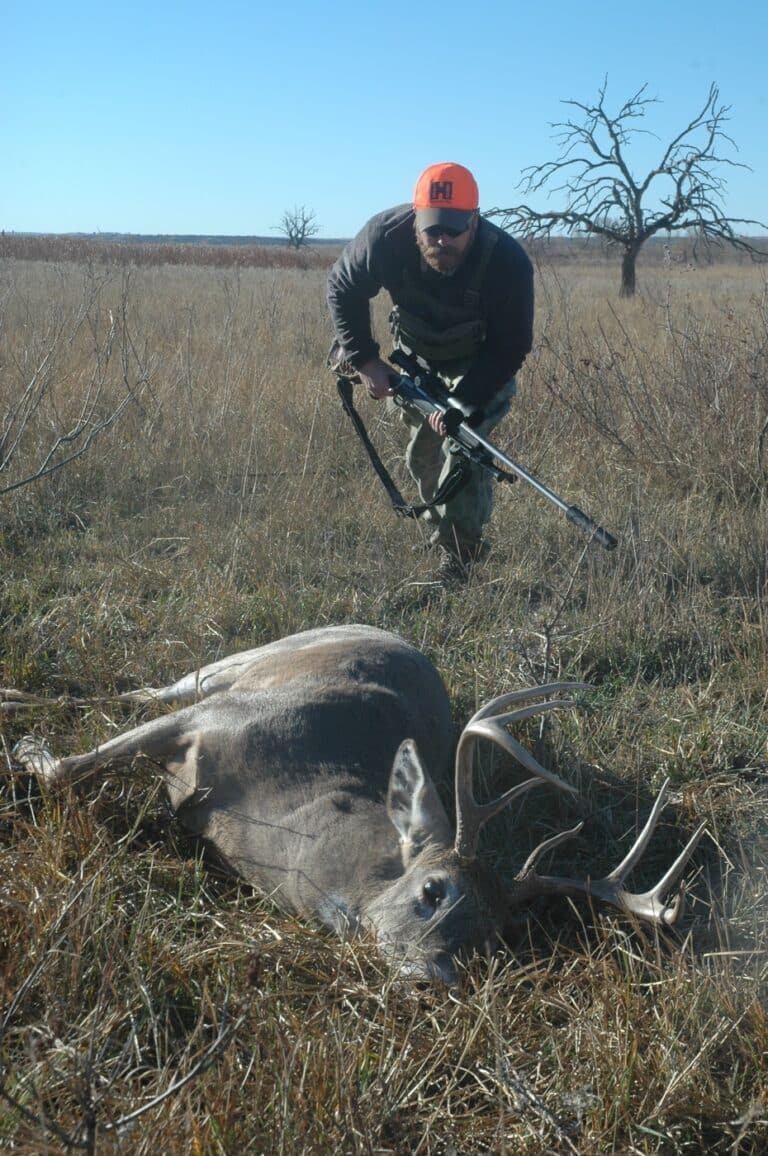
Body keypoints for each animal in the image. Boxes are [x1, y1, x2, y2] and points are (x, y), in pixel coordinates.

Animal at [3, 624, 705, 985]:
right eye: (433, 891)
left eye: (492, 939)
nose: (432, 978)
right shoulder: (218, 719)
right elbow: (66, 771)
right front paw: (27, 750)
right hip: (232, 669)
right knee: (140, 691)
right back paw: (19, 702)